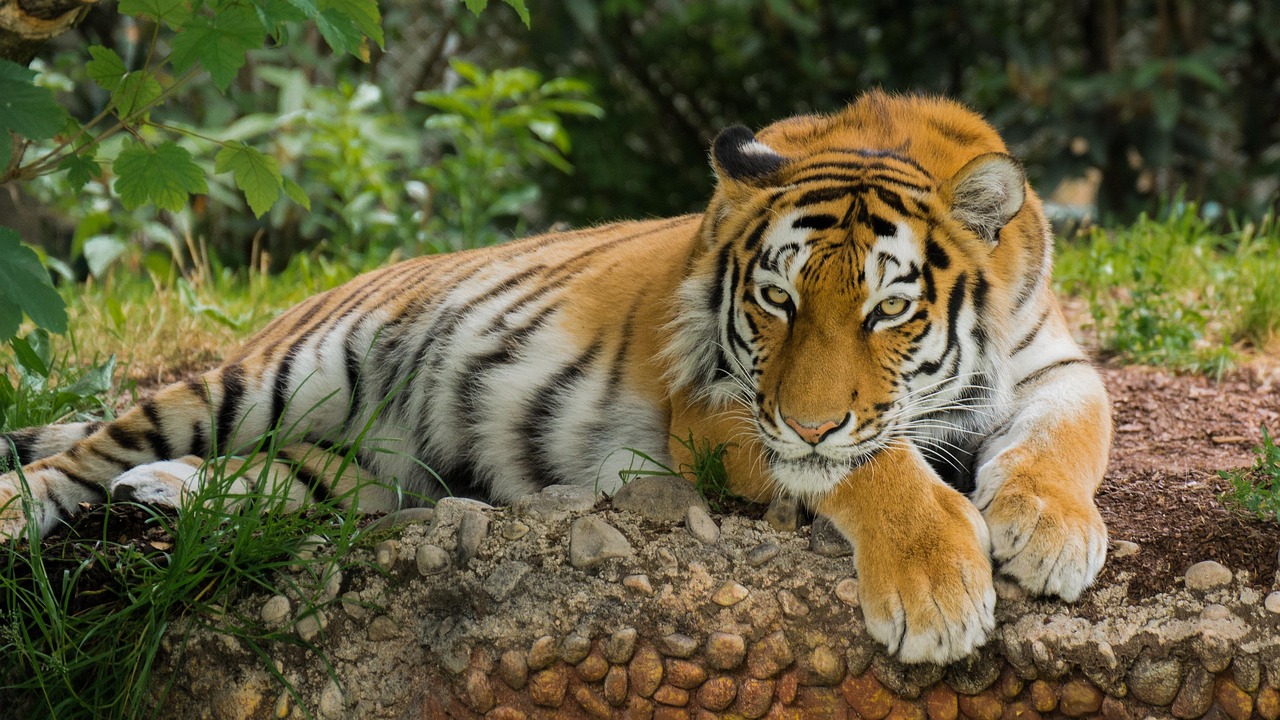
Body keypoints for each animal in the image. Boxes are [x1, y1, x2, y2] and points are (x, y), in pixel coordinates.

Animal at [0, 90, 1111, 664]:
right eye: (776, 300)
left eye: (888, 310)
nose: (805, 422)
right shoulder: (717, 406)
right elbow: (873, 465)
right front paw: (936, 589)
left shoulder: (1053, 361)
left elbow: (1066, 437)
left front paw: (1049, 531)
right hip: (267, 376)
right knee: (80, 455)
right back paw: (28, 509)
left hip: (367, 464)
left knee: (299, 481)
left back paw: (169, 493)